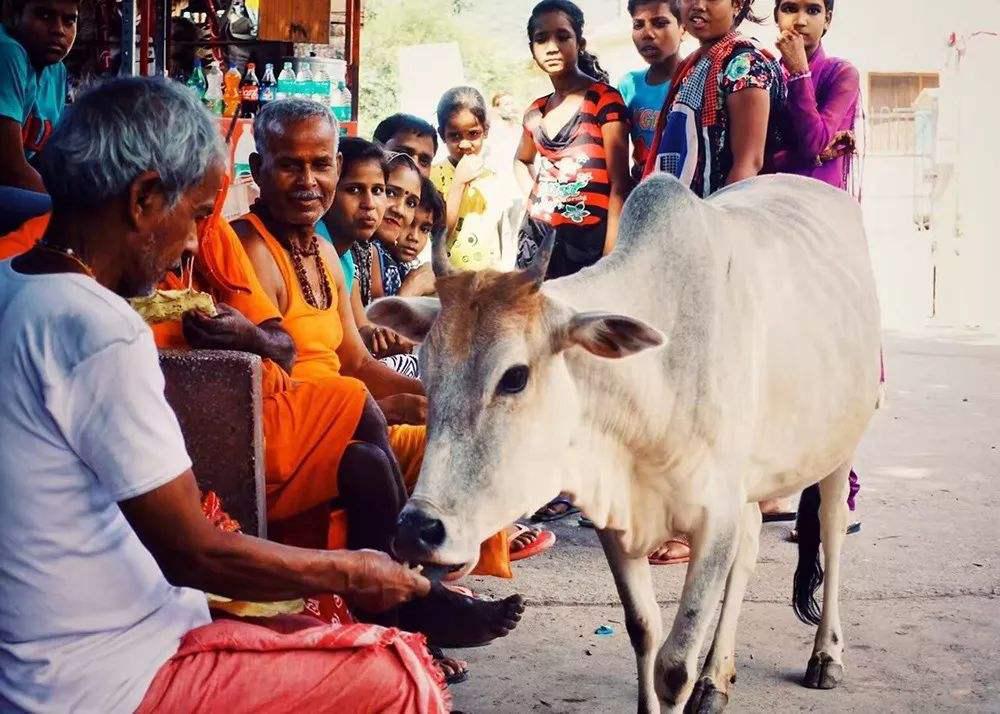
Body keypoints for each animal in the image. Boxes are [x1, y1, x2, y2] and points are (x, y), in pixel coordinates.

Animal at [371, 173, 883, 713]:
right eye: (428, 371)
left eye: (514, 377)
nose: (416, 529)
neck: (656, 379)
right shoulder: (617, 520)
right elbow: (642, 630)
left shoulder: (713, 519)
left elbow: (674, 667)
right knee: (746, 552)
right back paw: (716, 678)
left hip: (839, 446)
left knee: (830, 528)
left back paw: (825, 655)